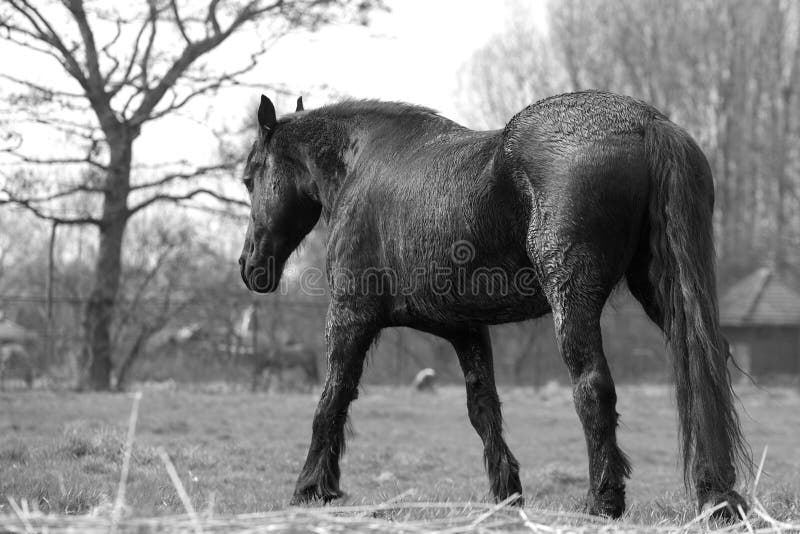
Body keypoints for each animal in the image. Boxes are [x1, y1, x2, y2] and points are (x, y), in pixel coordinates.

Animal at [237, 91, 751, 519]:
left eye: (248, 177)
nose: (250, 266)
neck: (362, 163)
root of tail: (649, 123)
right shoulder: (466, 329)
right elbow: (483, 408)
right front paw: (507, 494)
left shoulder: (349, 317)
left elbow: (332, 398)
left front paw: (309, 490)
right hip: (665, 292)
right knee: (703, 364)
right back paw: (718, 496)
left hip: (573, 303)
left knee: (594, 387)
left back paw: (602, 502)